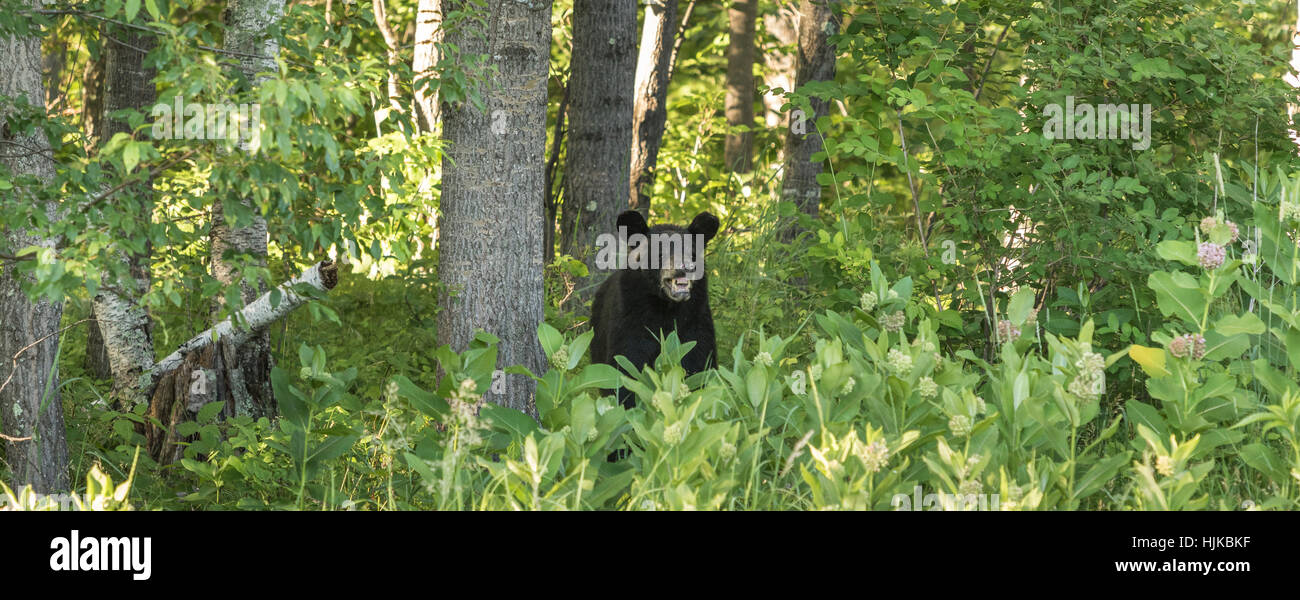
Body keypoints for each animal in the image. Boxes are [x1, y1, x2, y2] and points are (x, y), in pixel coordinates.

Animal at [590, 210, 720, 409]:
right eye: (661, 252)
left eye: (692, 253)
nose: (685, 267)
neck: (665, 307)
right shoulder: (629, 317)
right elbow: (626, 364)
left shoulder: (695, 318)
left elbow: (700, 361)